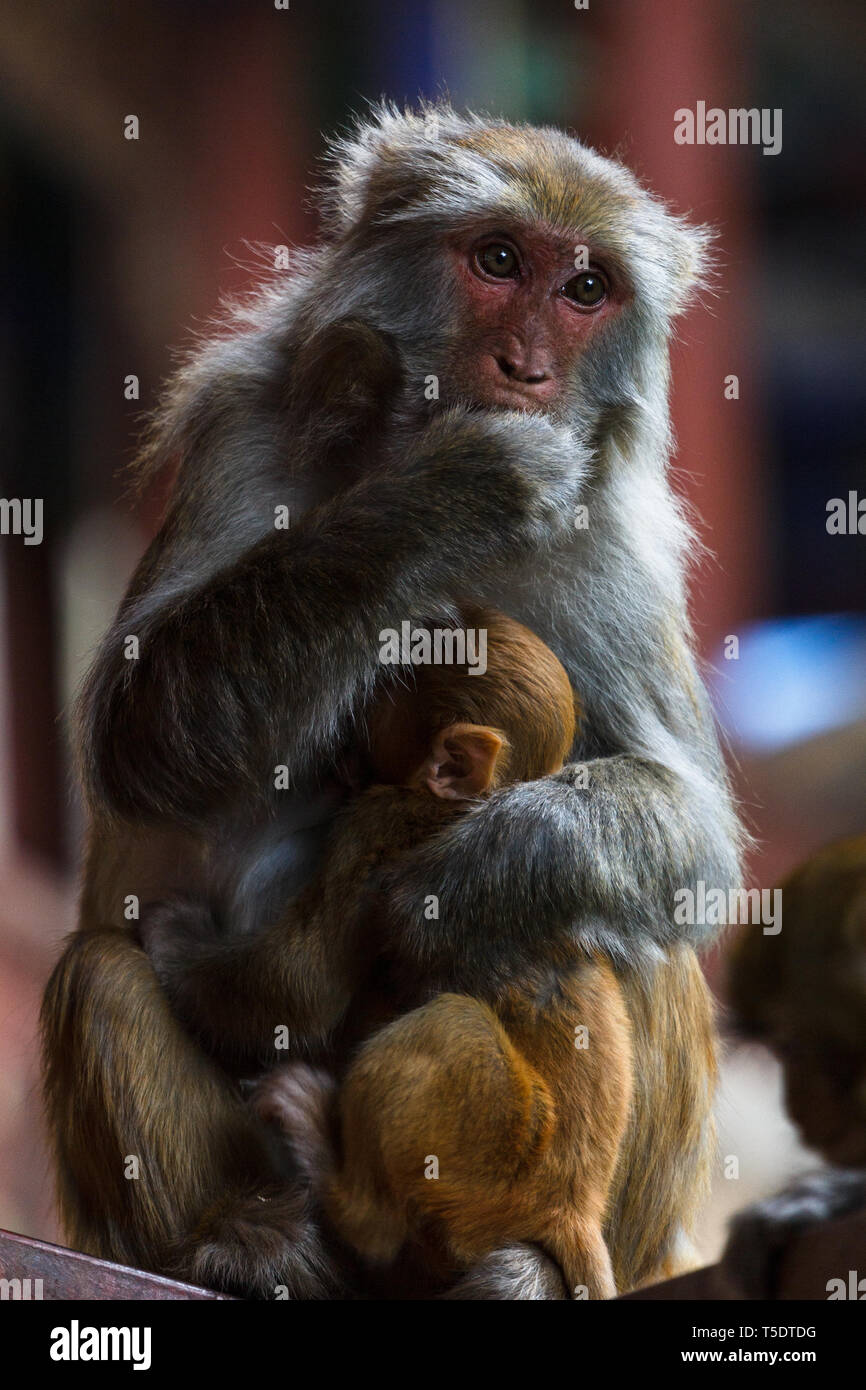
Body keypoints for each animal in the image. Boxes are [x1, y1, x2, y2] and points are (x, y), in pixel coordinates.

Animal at [41, 102, 743, 1298]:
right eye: (498, 261)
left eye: (585, 288)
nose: (525, 370)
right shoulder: (248, 430)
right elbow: (136, 728)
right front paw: (448, 491)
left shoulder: (605, 536)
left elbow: (690, 827)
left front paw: (463, 877)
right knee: (102, 973)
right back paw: (253, 1242)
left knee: (629, 937)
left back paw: (520, 1262)